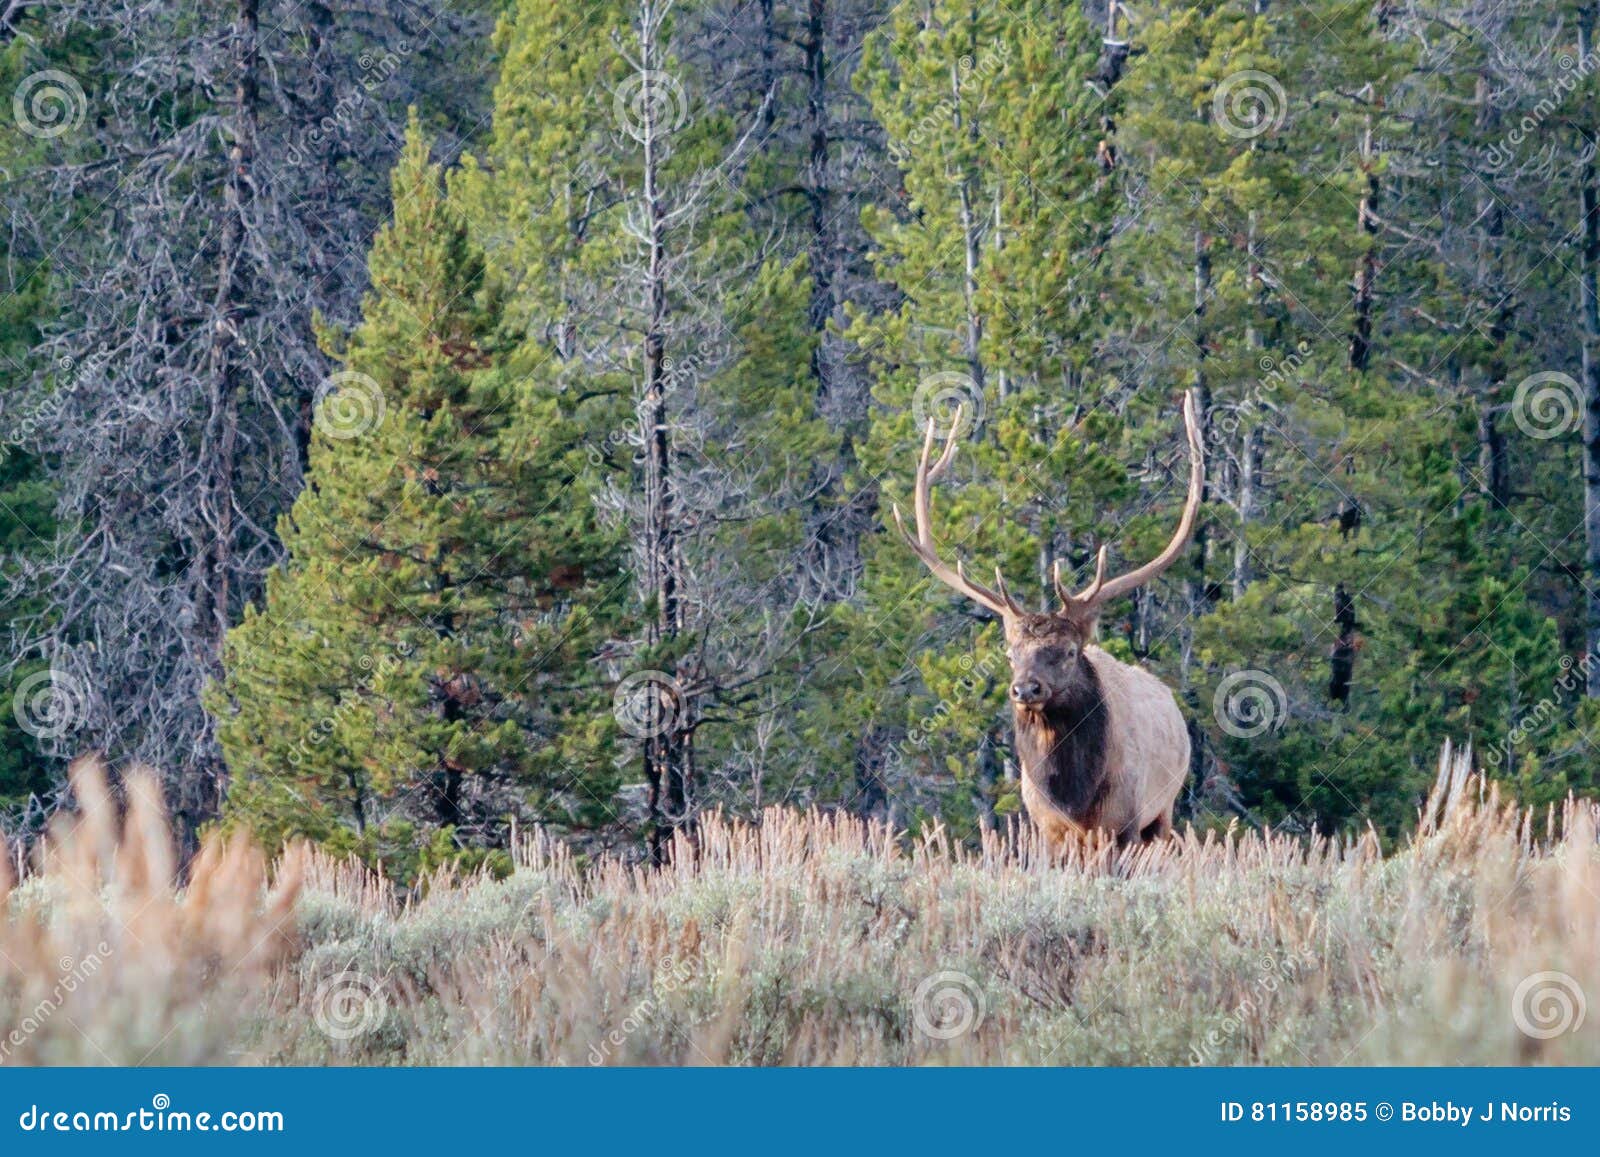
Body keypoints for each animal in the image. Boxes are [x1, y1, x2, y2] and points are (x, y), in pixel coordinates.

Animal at [894, 391, 1204, 851]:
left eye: (1069, 651)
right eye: (1010, 653)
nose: (1026, 688)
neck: (1075, 798)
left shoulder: (1125, 822)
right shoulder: (1046, 826)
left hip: (1163, 811)